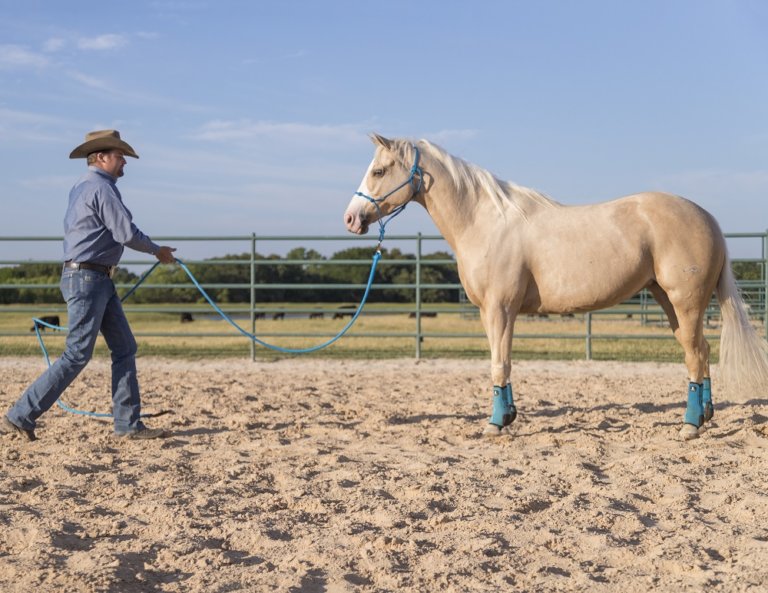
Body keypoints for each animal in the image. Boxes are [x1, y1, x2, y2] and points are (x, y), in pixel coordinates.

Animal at [343, 134, 768, 440]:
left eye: (379, 171)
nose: (351, 218)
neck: (484, 222)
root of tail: (706, 216)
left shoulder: (500, 308)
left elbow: (499, 363)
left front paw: (495, 424)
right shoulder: (490, 312)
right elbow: (501, 361)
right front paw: (508, 415)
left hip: (686, 302)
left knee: (695, 356)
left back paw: (690, 426)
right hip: (670, 303)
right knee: (700, 352)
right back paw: (705, 415)